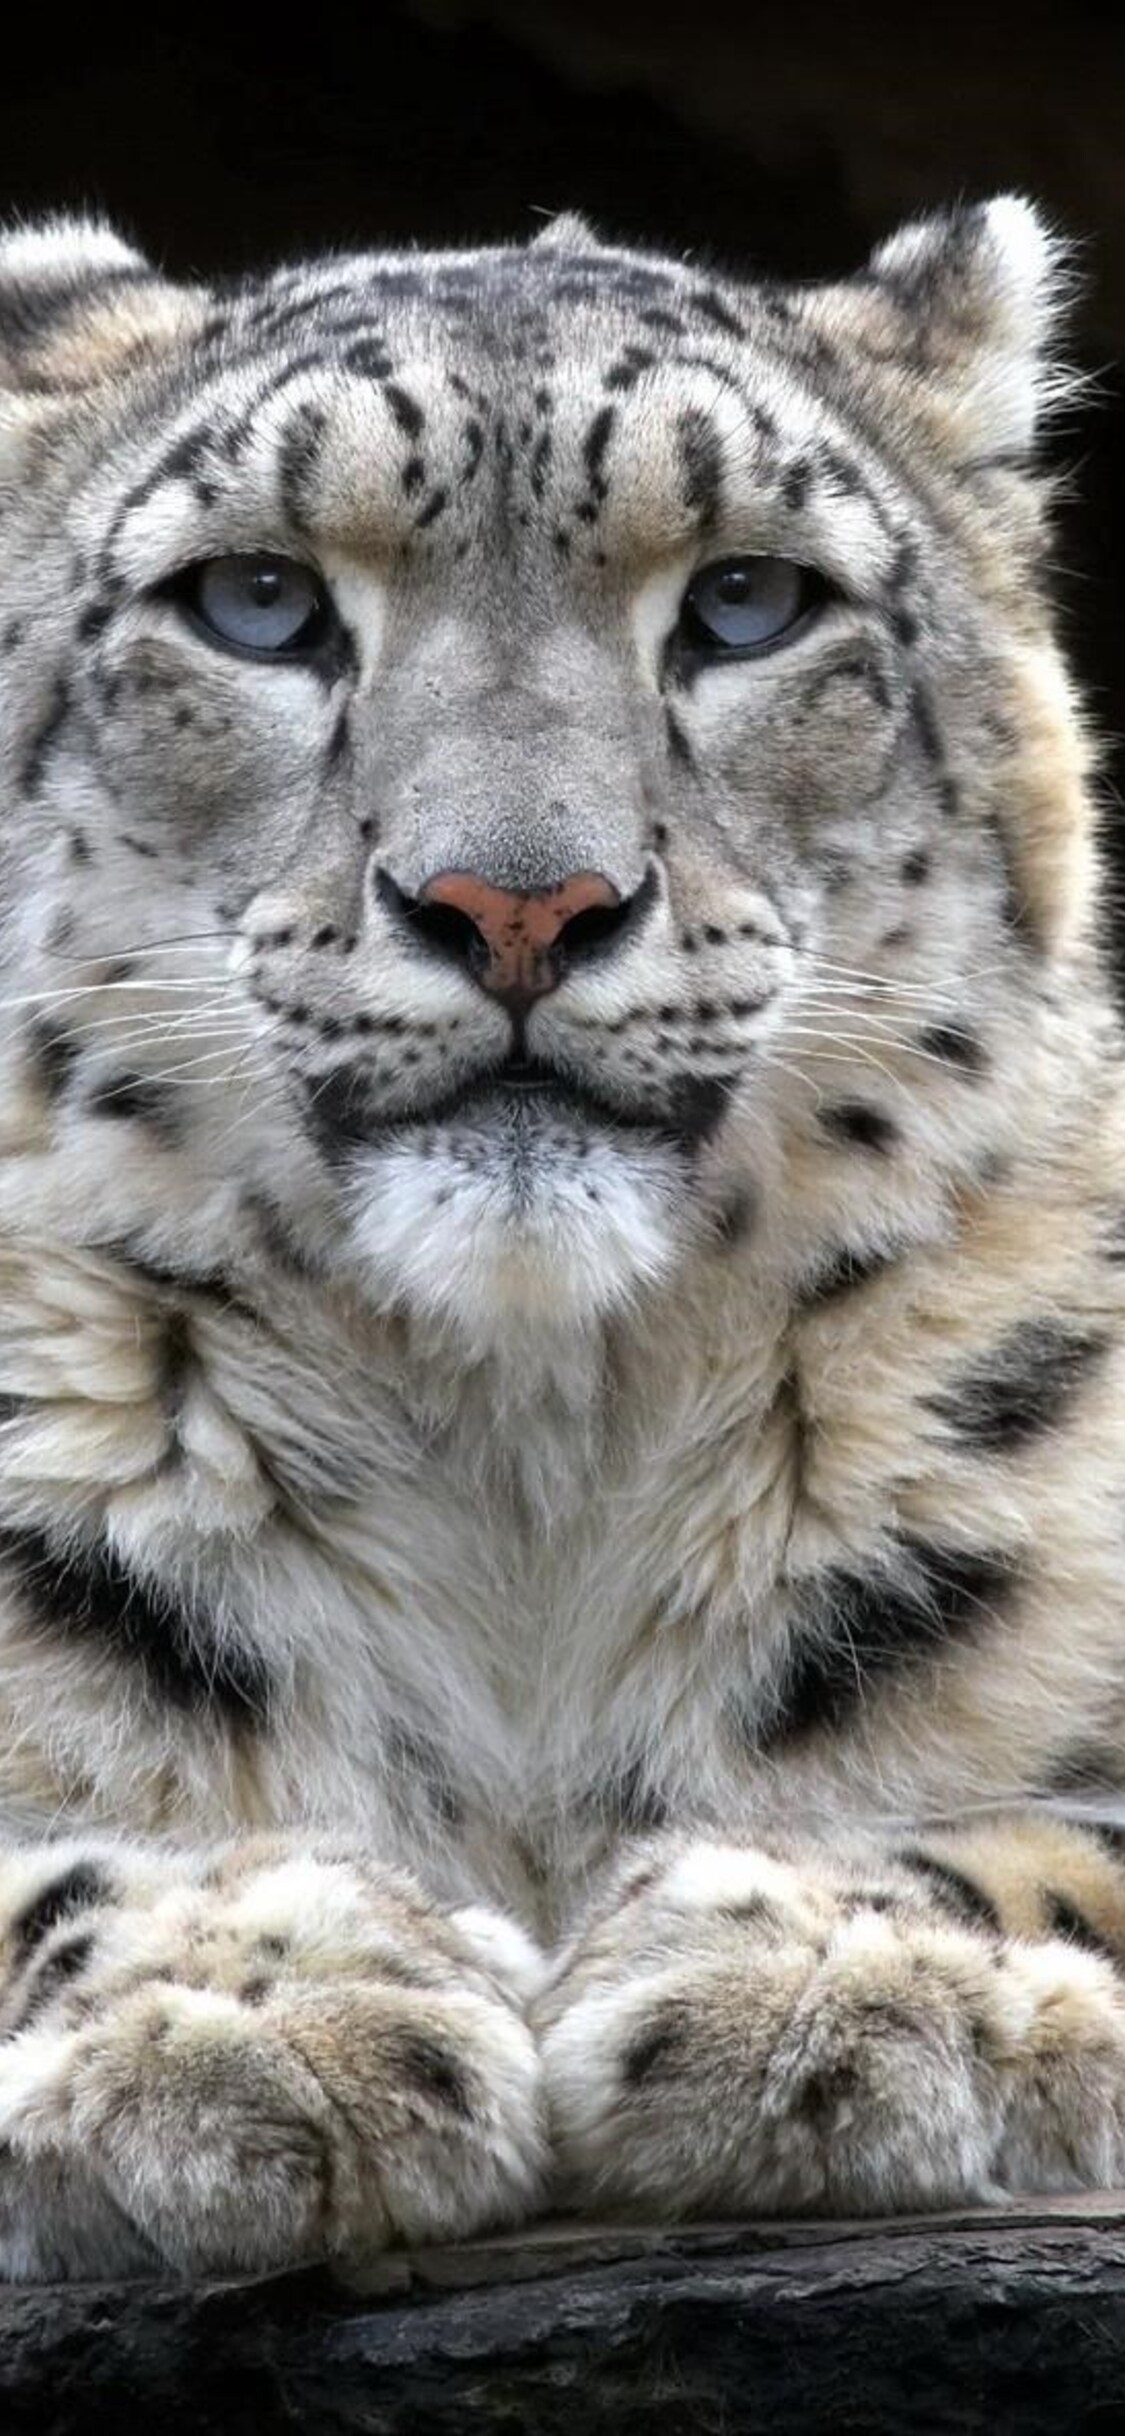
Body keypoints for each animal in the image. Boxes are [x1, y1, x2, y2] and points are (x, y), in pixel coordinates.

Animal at [0, 192, 1124, 2279]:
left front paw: (829, 1960)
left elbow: (1072, 1837)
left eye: (750, 601)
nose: (515, 905)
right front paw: (262, 1990)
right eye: (256, 601)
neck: (520, 1450)